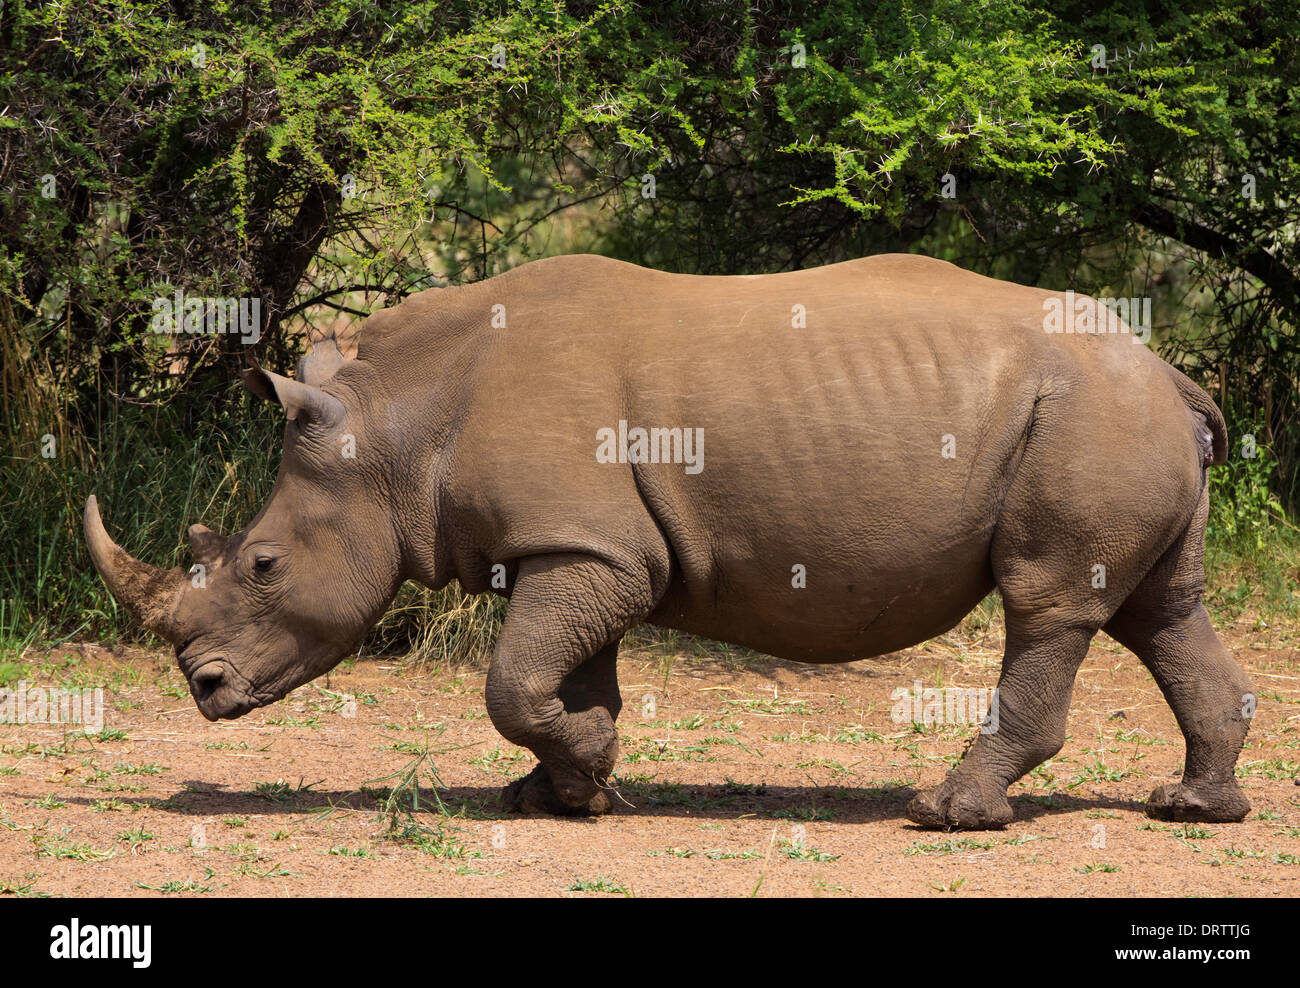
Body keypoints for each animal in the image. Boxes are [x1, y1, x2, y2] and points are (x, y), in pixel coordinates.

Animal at [85, 253, 1255, 828]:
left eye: (263, 566)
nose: (204, 688)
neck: (397, 427)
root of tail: (1168, 372)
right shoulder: (587, 546)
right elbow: (566, 674)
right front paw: (564, 792)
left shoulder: (584, 547)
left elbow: (512, 681)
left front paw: (590, 775)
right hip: (1116, 419)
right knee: (1162, 608)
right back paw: (1194, 809)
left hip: (1089, 419)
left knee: (1051, 601)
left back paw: (945, 813)